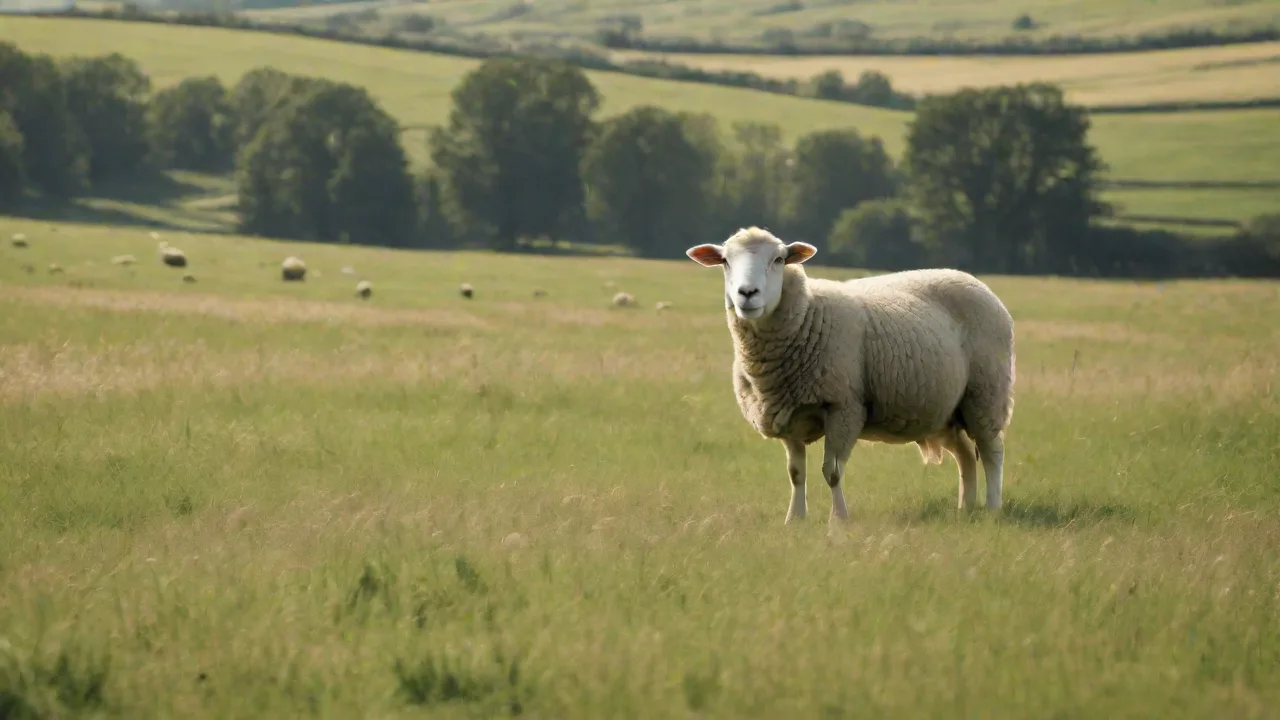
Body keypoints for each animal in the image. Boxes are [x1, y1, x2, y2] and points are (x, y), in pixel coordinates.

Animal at [685, 227, 1015, 525]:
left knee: (992, 452)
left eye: (778, 259)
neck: (808, 313)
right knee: (965, 455)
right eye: (725, 261)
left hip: (986, 393)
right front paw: (795, 520)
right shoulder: (788, 413)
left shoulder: (843, 407)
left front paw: (839, 519)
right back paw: (965, 510)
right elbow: (796, 474)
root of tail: (971, 279)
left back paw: (992, 509)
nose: (747, 294)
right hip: (947, 410)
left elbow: (832, 472)